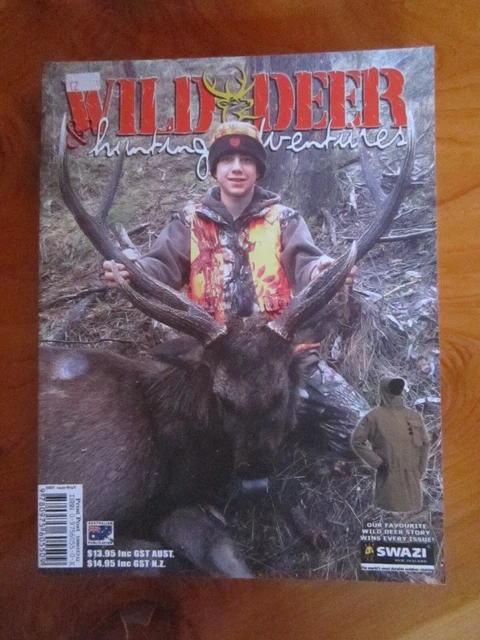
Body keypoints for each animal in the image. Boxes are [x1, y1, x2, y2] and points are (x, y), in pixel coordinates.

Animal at [39, 119, 415, 577]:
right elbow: (162, 564)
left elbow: (222, 553)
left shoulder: (177, 506)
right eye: (220, 397)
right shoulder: (87, 496)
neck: (175, 461)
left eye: (281, 393)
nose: (252, 482)